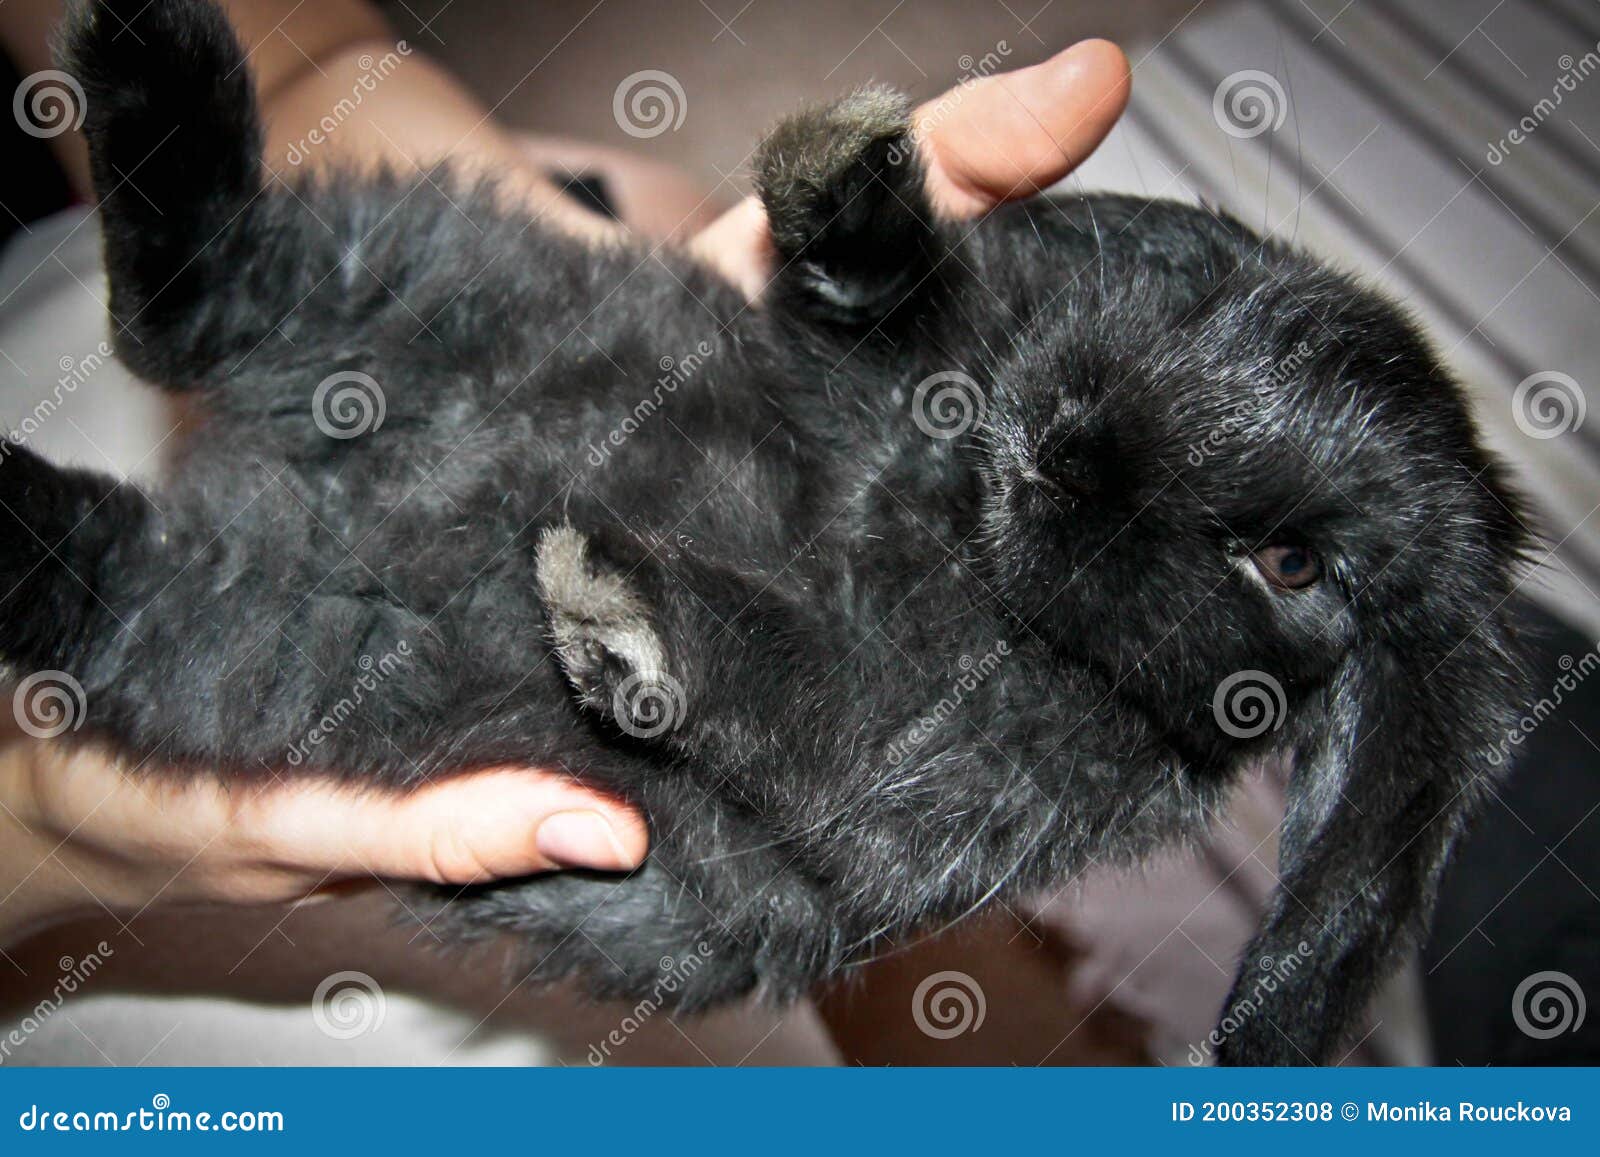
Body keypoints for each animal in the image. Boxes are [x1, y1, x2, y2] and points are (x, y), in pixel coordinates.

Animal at [0, 0, 1532, 1065]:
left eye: (1294, 564)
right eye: (1203, 302)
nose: (1071, 444)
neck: (957, 537)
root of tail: (260, 465)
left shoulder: (914, 770)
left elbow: (795, 682)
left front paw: (616, 603)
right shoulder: (858, 370)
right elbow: (881, 309)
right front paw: (846, 171)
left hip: (269, 638)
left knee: (117, 553)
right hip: (439, 272)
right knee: (200, 305)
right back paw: (149, 55)